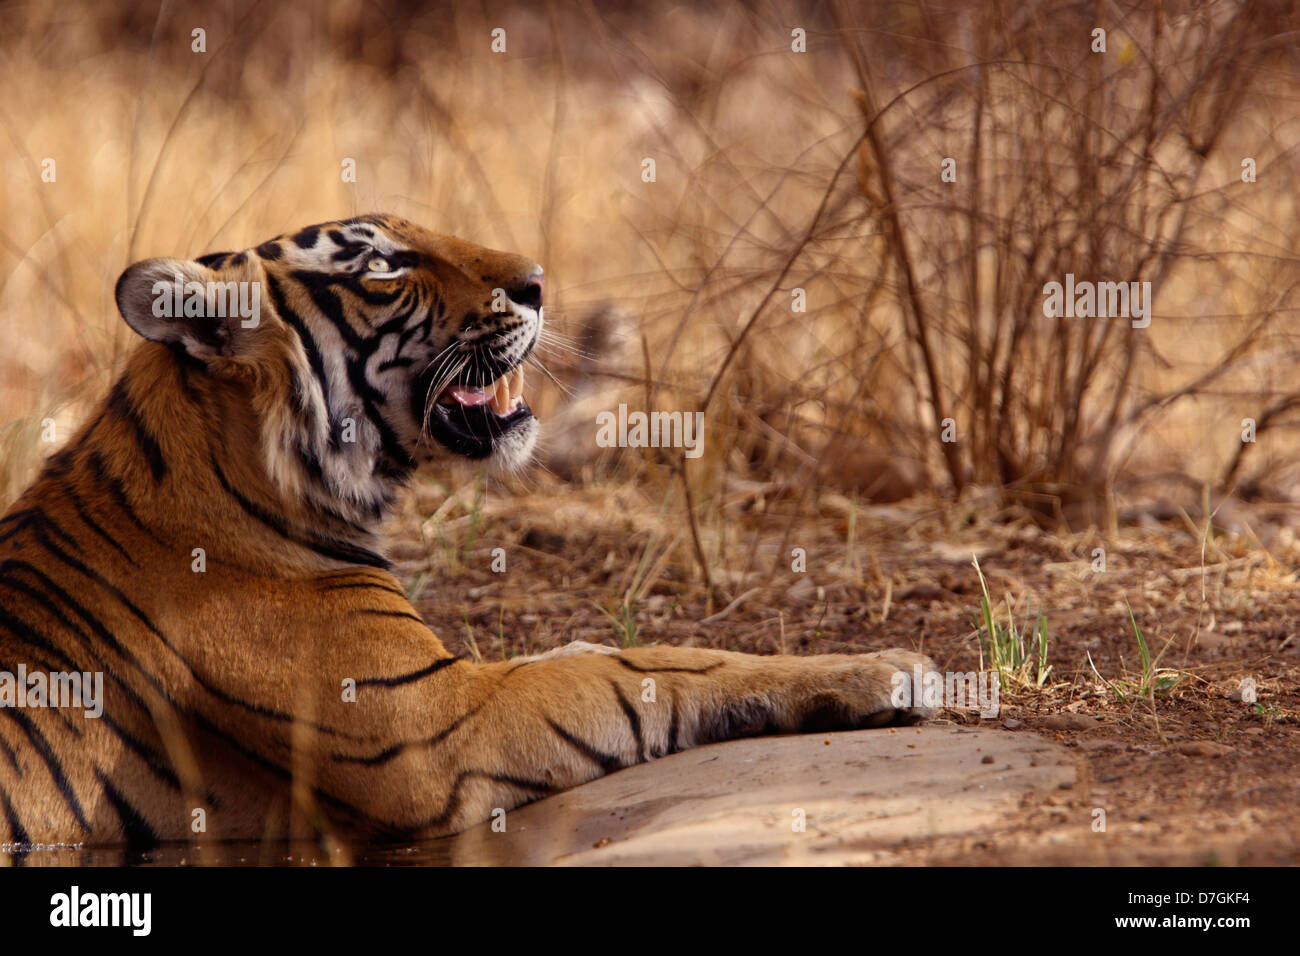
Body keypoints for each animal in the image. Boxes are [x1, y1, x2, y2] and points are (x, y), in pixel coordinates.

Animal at [0, 214, 937, 853]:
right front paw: (890, 667)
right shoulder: (440, 726)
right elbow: (651, 666)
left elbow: (590, 651)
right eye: (382, 264)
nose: (539, 280)